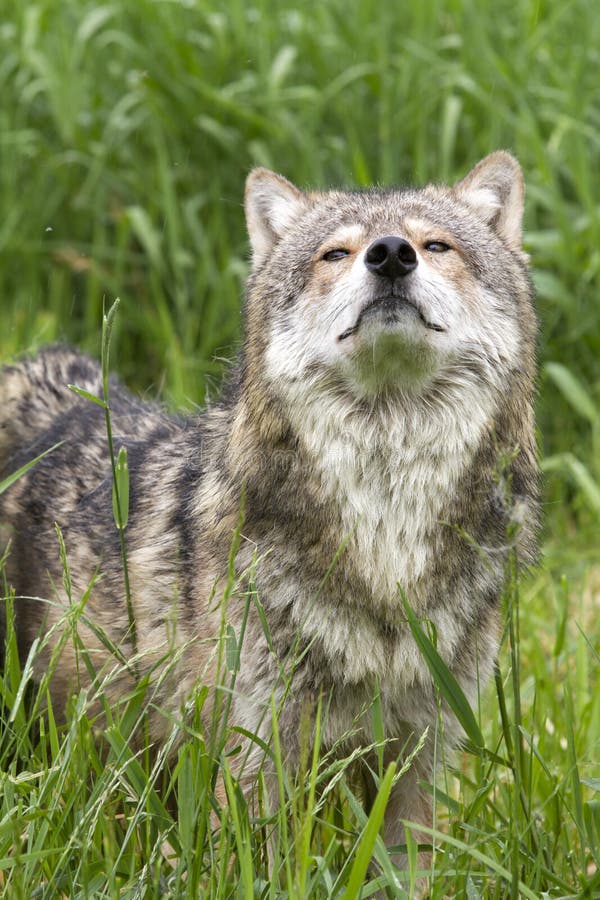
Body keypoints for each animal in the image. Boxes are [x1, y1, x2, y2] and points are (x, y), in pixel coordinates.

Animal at [0, 152, 539, 871]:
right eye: (335, 253)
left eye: (436, 246)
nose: (390, 254)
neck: (386, 534)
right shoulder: (255, 752)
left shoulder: (419, 756)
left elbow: (405, 871)